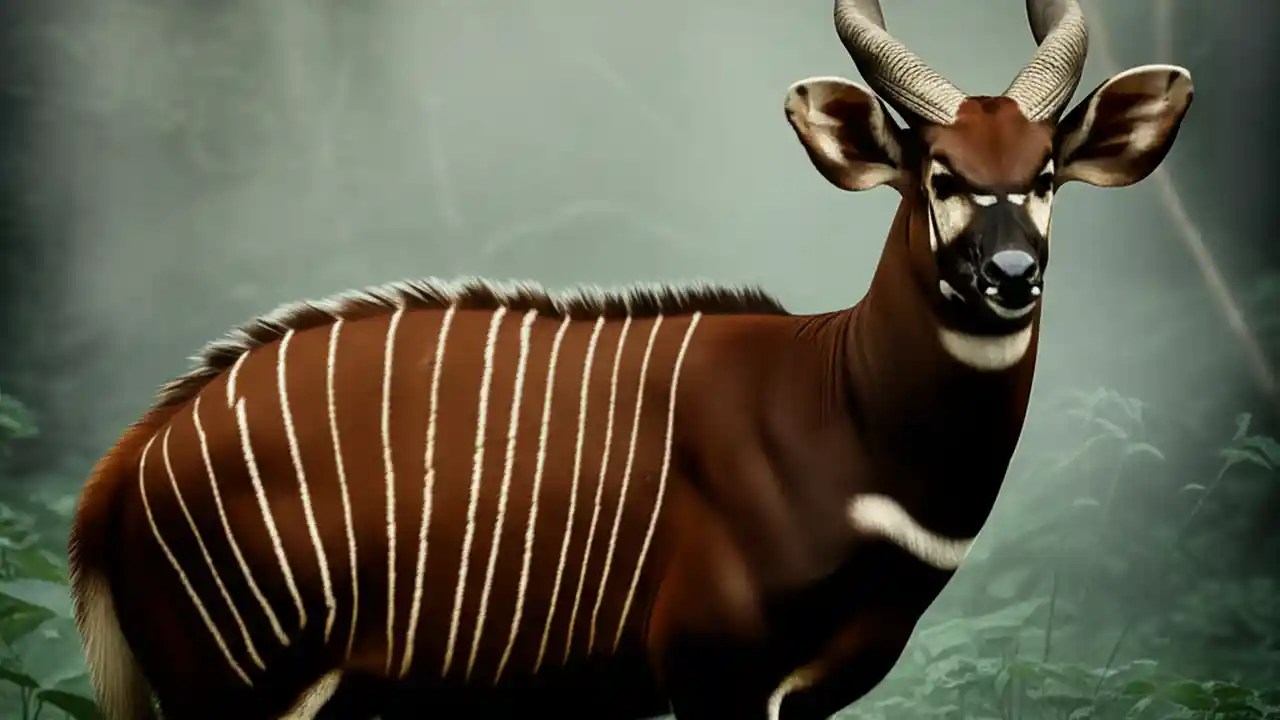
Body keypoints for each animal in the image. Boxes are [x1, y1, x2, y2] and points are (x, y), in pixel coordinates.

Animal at [67, 1, 1193, 718]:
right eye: (939, 175)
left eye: (1042, 173)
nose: (1010, 273)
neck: (836, 410)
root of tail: (120, 468)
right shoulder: (712, 672)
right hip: (235, 684)